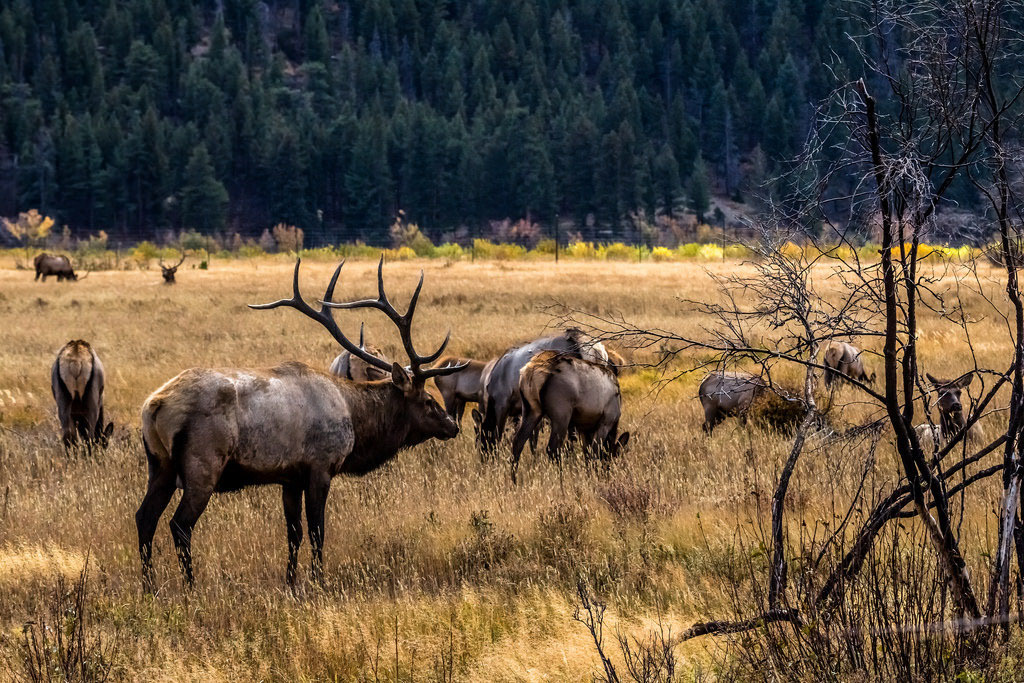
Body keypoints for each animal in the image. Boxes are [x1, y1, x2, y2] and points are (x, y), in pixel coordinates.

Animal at [135, 257, 465, 592]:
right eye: (428, 400)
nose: (453, 426)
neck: (355, 420)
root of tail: (154, 405)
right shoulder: (320, 468)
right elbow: (317, 530)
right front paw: (319, 581)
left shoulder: (289, 478)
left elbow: (293, 533)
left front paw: (291, 582)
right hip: (202, 465)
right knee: (180, 525)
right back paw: (190, 587)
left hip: (160, 466)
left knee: (144, 517)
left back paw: (150, 588)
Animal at [509, 350, 629, 483]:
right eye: (615, 456)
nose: (608, 473)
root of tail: (533, 369)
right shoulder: (606, 422)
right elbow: (595, 453)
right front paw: (596, 478)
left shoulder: (584, 429)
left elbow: (587, 456)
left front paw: (589, 476)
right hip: (561, 413)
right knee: (553, 448)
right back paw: (561, 481)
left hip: (531, 411)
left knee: (517, 443)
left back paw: (514, 481)